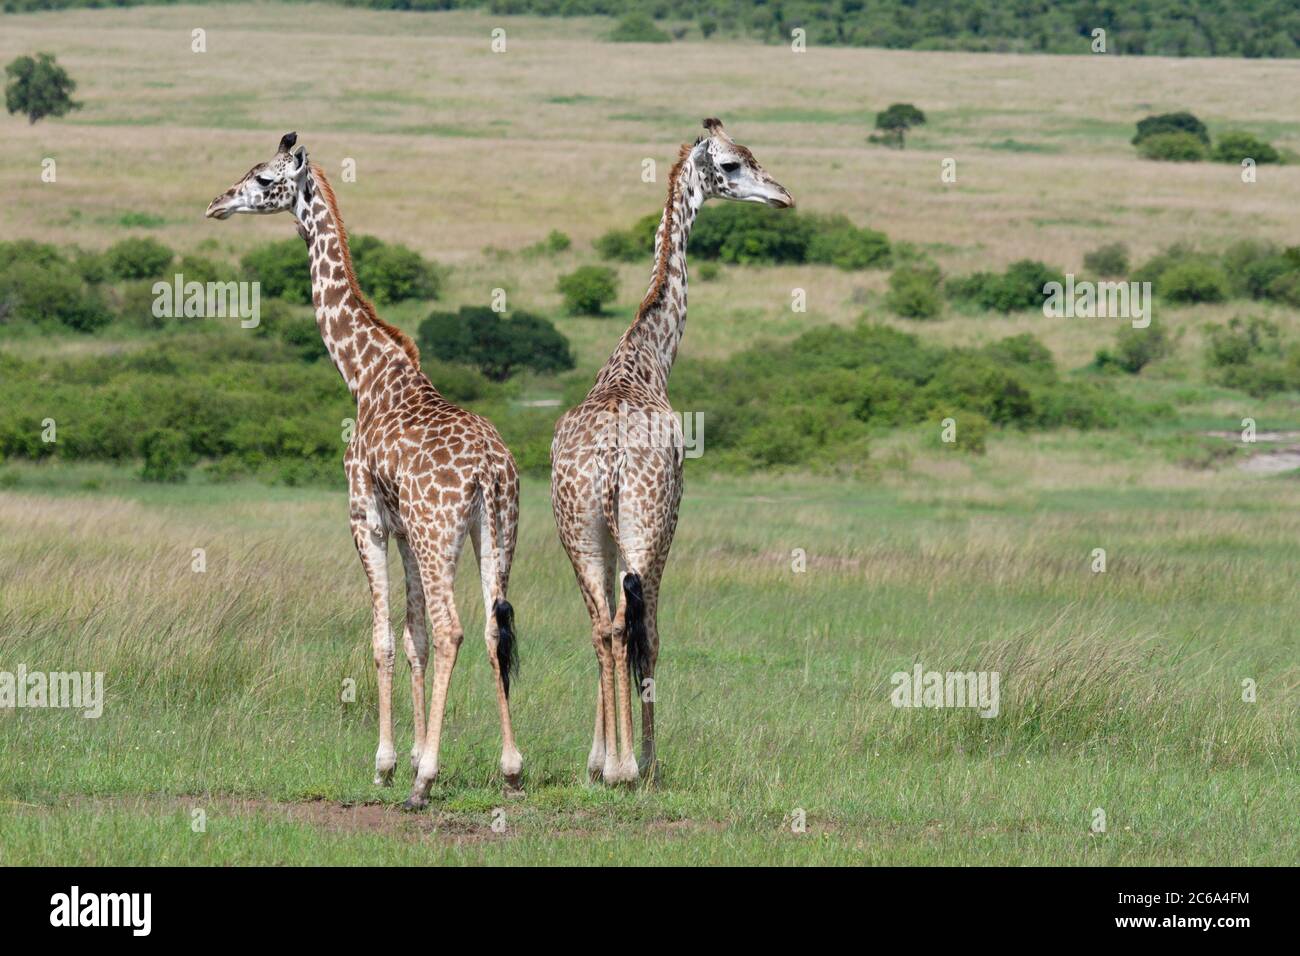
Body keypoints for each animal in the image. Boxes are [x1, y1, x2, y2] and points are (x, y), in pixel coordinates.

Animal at [206, 133, 523, 809]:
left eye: (264, 178)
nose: (217, 203)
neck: (364, 375)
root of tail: (490, 468)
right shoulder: (403, 529)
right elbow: (412, 637)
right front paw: (412, 755)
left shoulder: (367, 518)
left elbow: (382, 638)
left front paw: (389, 765)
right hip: (496, 531)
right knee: (490, 627)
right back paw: (511, 768)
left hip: (439, 531)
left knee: (455, 628)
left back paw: (425, 785)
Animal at [550, 119, 793, 784]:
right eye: (733, 165)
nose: (783, 196)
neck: (647, 357)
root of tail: (608, 462)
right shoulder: (669, 523)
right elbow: (651, 637)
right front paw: (645, 763)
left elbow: (608, 627)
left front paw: (596, 760)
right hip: (646, 526)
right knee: (636, 628)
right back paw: (634, 766)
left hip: (579, 530)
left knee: (601, 625)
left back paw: (610, 763)